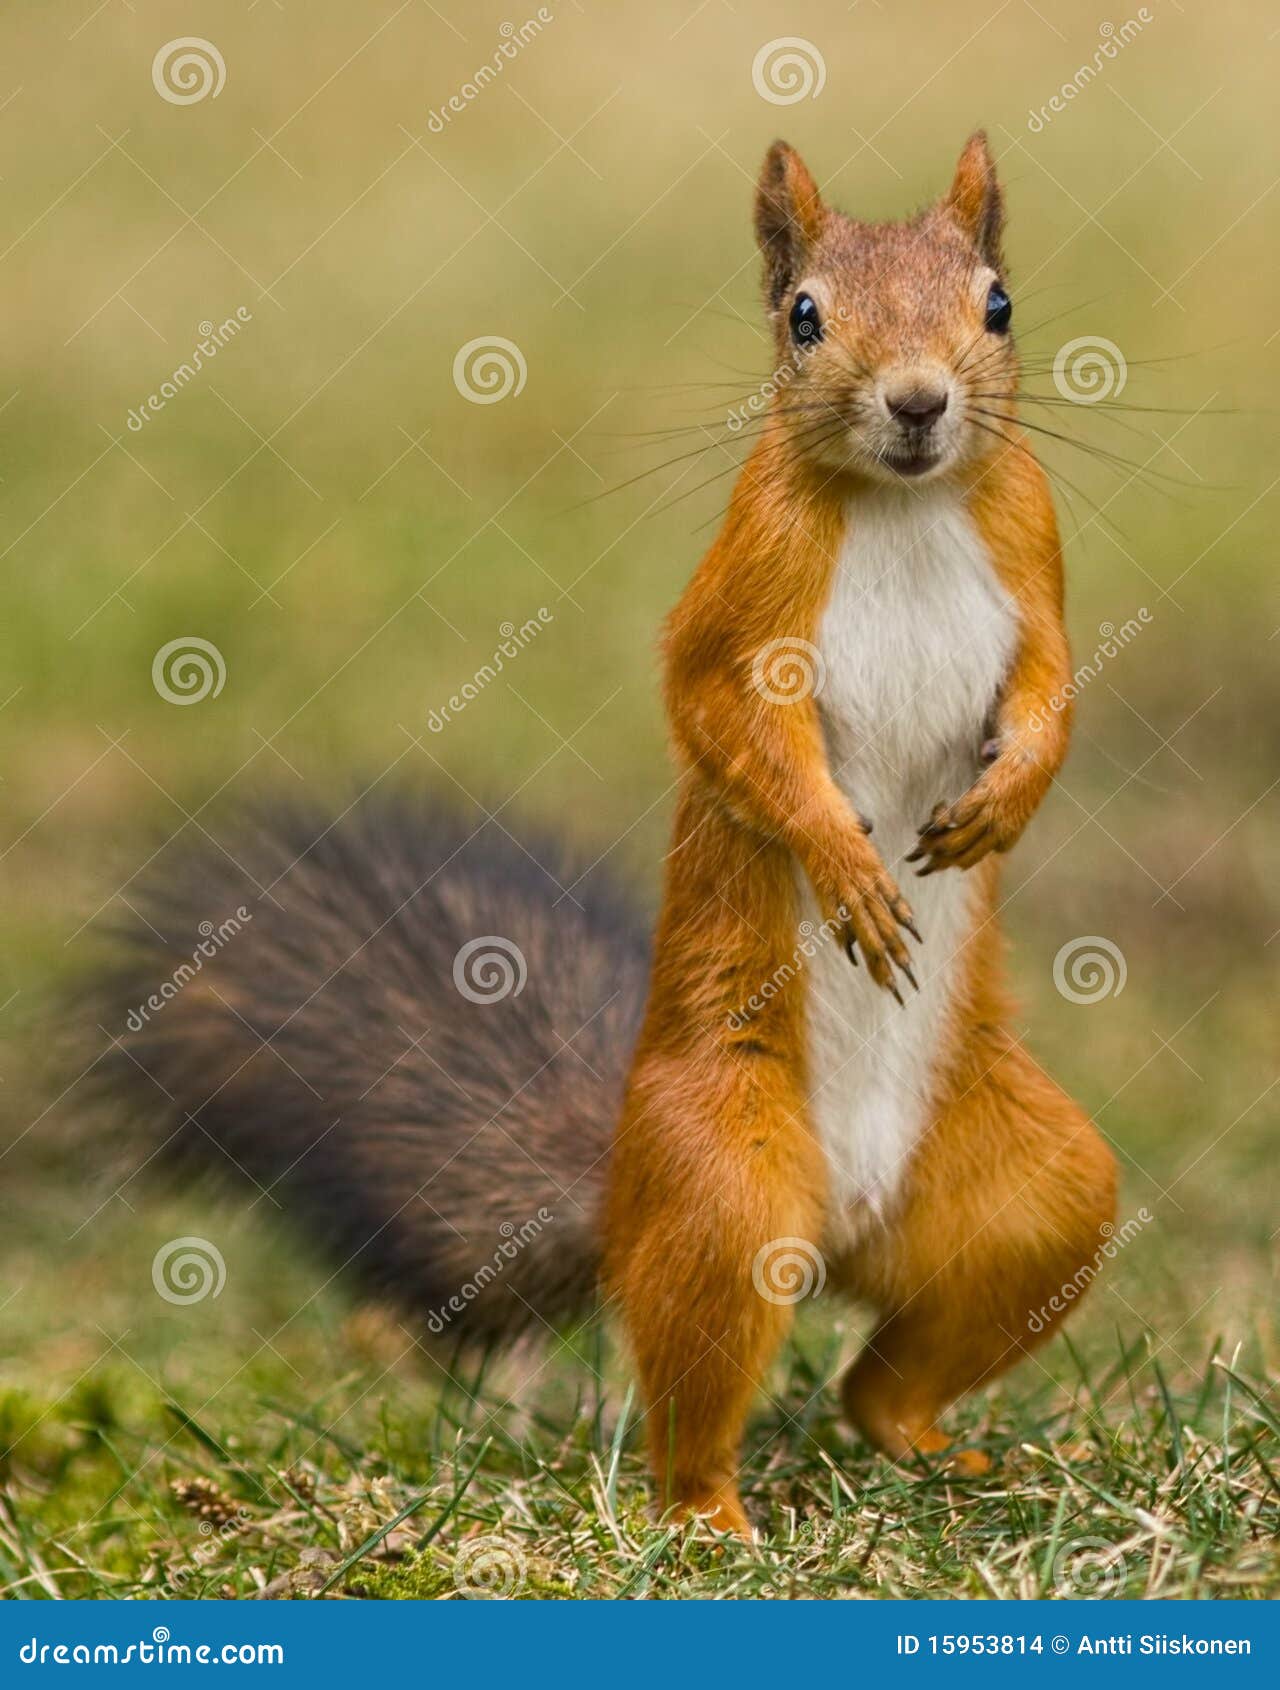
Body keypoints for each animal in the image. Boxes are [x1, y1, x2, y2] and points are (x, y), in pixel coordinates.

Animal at [87, 133, 1115, 1541]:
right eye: (803, 317)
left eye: (998, 304)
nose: (915, 404)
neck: (903, 509)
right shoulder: (738, 598)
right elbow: (718, 714)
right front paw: (843, 865)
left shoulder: (1033, 555)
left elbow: (1055, 688)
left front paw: (1009, 800)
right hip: (722, 1186)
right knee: (696, 1387)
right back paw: (709, 1516)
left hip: (1039, 1194)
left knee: (895, 1364)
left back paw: (929, 1444)